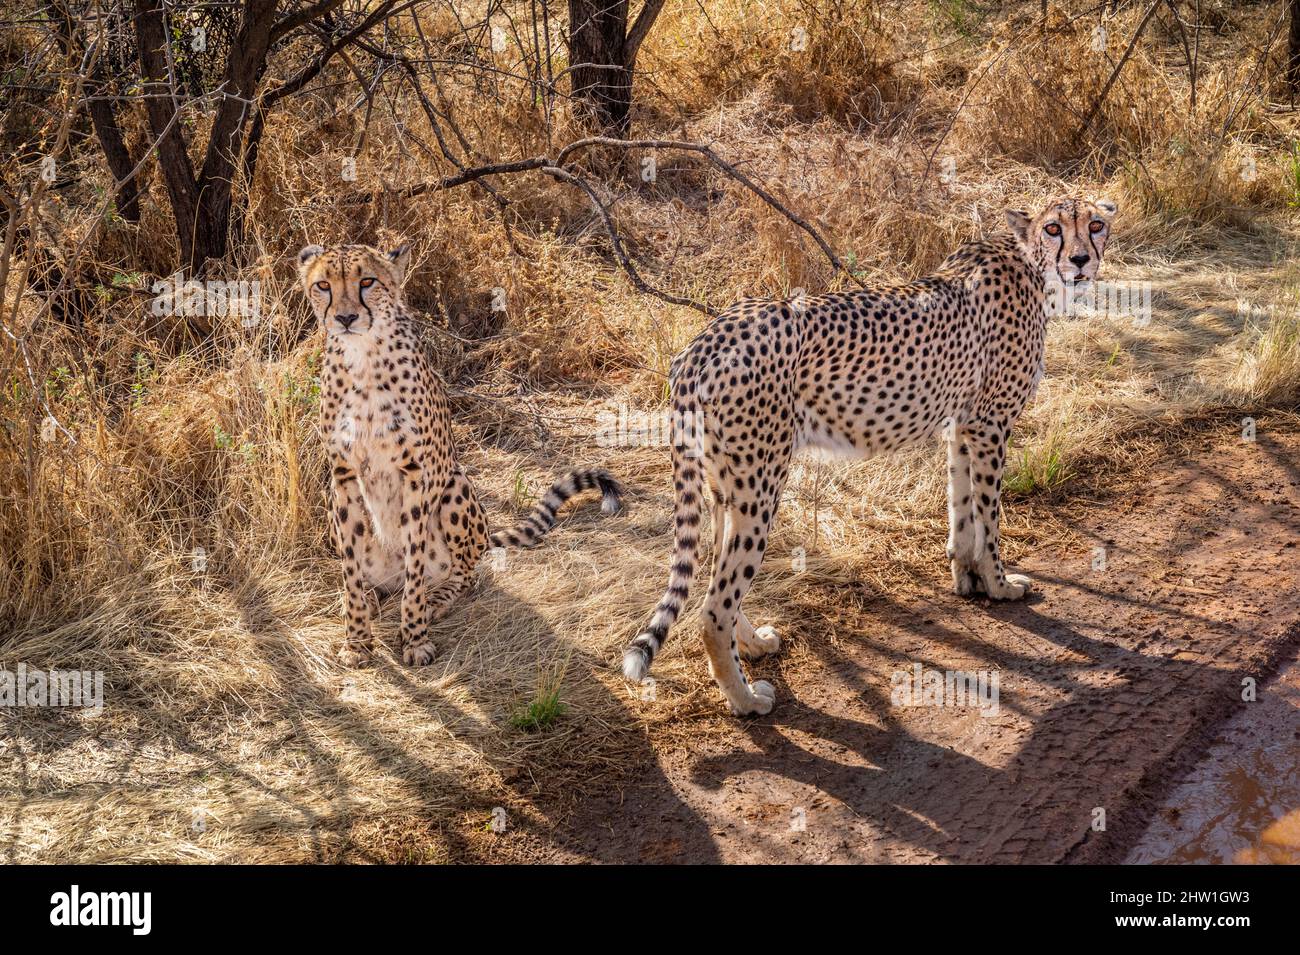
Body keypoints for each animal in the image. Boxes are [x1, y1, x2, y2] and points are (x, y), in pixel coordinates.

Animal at [298, 242, 623, 667]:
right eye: (323, 285)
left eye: (367, 281)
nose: (346, 317)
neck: (363, 356)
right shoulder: (343, 474)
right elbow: (351, 570)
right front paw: (356, 640)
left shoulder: (415, 472)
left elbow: (416, 564)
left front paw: (415, 637)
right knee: (368, 576)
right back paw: (367, 598)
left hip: (455, 485)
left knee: (464, 572)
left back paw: (435, 598)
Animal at [621, 197, 1119, 716]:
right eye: (1053, 228)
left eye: (1095, 224)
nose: (1080, 260)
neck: (1030, 263)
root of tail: (705, 340)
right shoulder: (989, 425)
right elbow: (989, 519)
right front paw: (999, 585)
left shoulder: (962, 427)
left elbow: (962, 509)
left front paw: (966, 578)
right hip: (760, 484)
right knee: (714, 607)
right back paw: (746, 699)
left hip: (726, 484)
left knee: (714, 585)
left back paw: (755, 645)